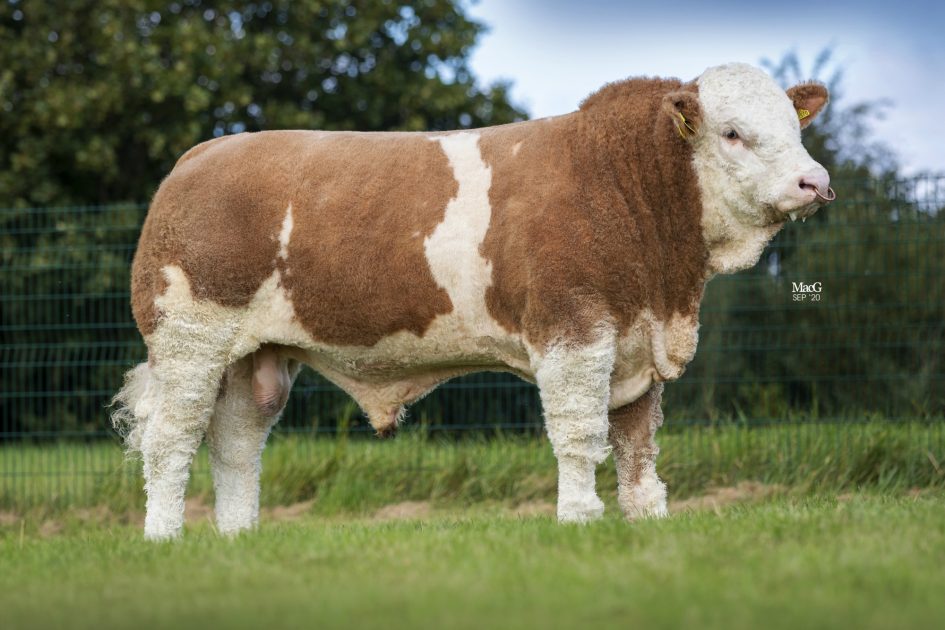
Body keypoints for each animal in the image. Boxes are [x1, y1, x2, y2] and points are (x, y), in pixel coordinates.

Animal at [112, 63, 832, 540]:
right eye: (732, 133)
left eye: (790, 126)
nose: (814, 180)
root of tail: (199, 155)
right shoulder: (573, 328)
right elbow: (579, 432)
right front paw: (578, 518)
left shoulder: (635, 341)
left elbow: (636, 442)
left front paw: (645, 517)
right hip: (190, 337)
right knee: (172, 437)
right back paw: (163, 536)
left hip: (254, 357)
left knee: (236, 441)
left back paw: (238, 537)